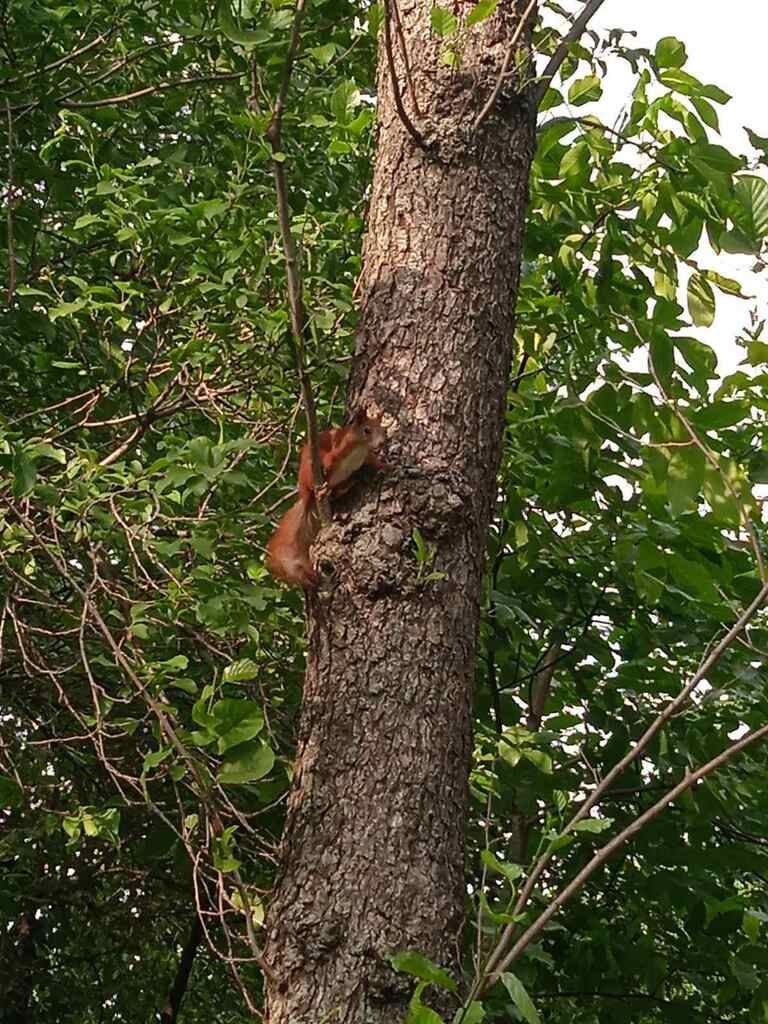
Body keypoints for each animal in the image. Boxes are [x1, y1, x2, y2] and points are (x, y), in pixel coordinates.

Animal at [265, 408, 386, 588]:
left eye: (384, 430)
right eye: (366, 430)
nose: (381, 443)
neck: (359, 449)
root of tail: (306, 500)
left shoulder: (367, 457)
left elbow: (374, 462)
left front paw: (387, 466)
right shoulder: (337, 451)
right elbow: (329, 460)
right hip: (307, 474)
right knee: (315, 484)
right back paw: (323, 491)